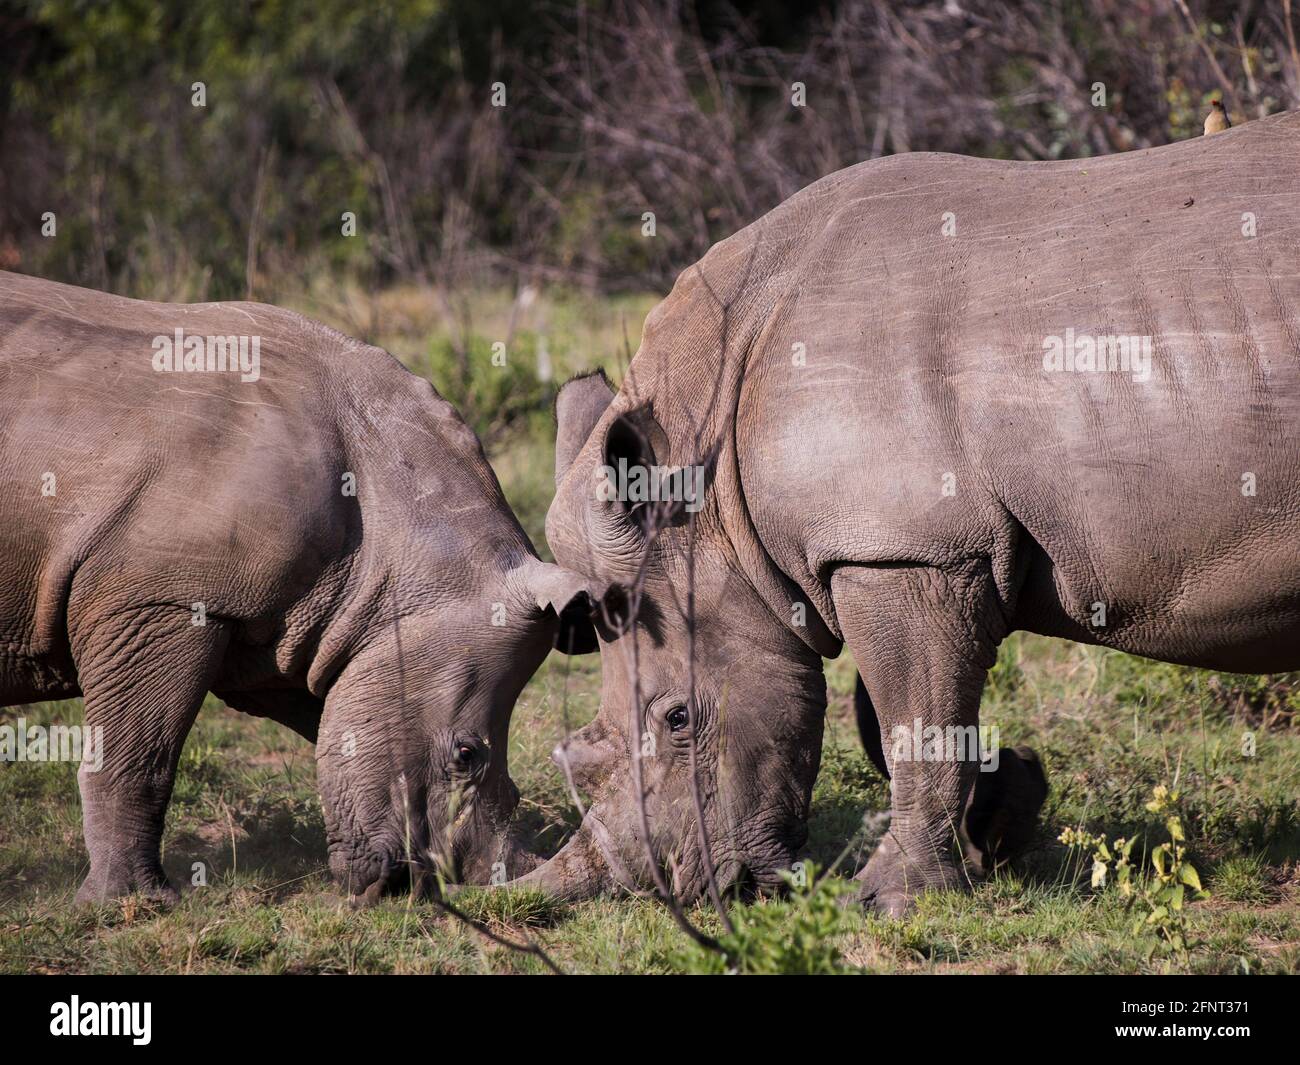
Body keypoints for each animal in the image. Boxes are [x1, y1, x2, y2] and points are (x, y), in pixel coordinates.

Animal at [0, 270, 593, 904]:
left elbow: (329, 728)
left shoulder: (302, 630)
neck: (405, 542)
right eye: (465, 754)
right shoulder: (161, 601)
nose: (411, 888)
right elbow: (140, 753)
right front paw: (131, 904)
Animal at [516, 109, 1300, 914]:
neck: (710, 485)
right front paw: (1005, 813)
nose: (686, 892)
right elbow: (897, 715)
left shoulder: (907, 548)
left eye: (676, 718)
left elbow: (913, 724)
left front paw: (888, 898)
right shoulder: (887, 542)